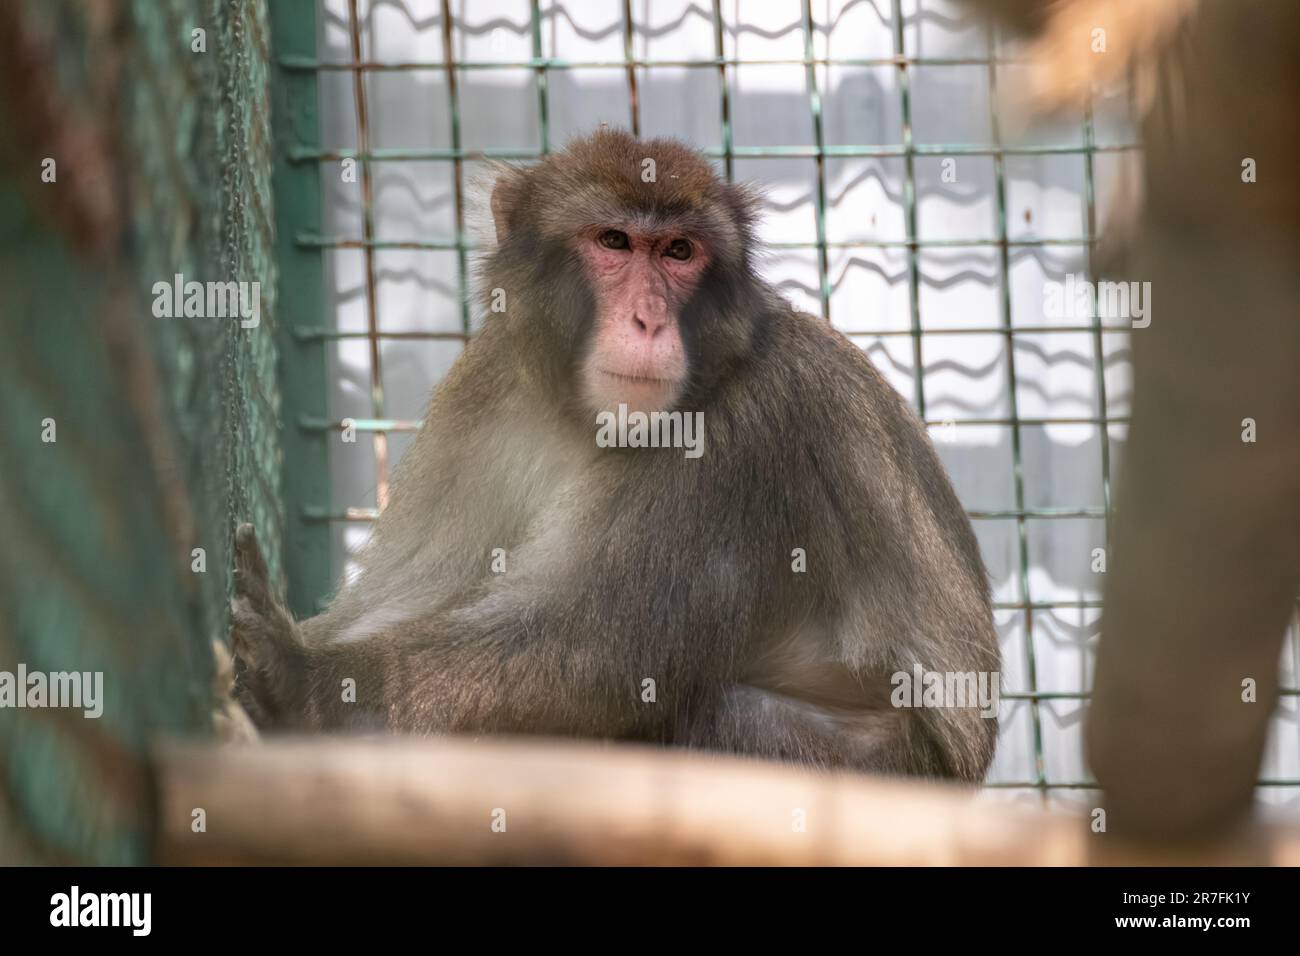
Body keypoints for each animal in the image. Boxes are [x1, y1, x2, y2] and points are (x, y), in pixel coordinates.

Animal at [232, 128, 1000, 782]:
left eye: (680, 252)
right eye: (615, 241)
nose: (649, 319)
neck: (583, 419)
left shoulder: (745, 432)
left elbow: (594, 655)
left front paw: (297, 682)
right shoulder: (485, 386)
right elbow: (398, 597)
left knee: (707, 712)